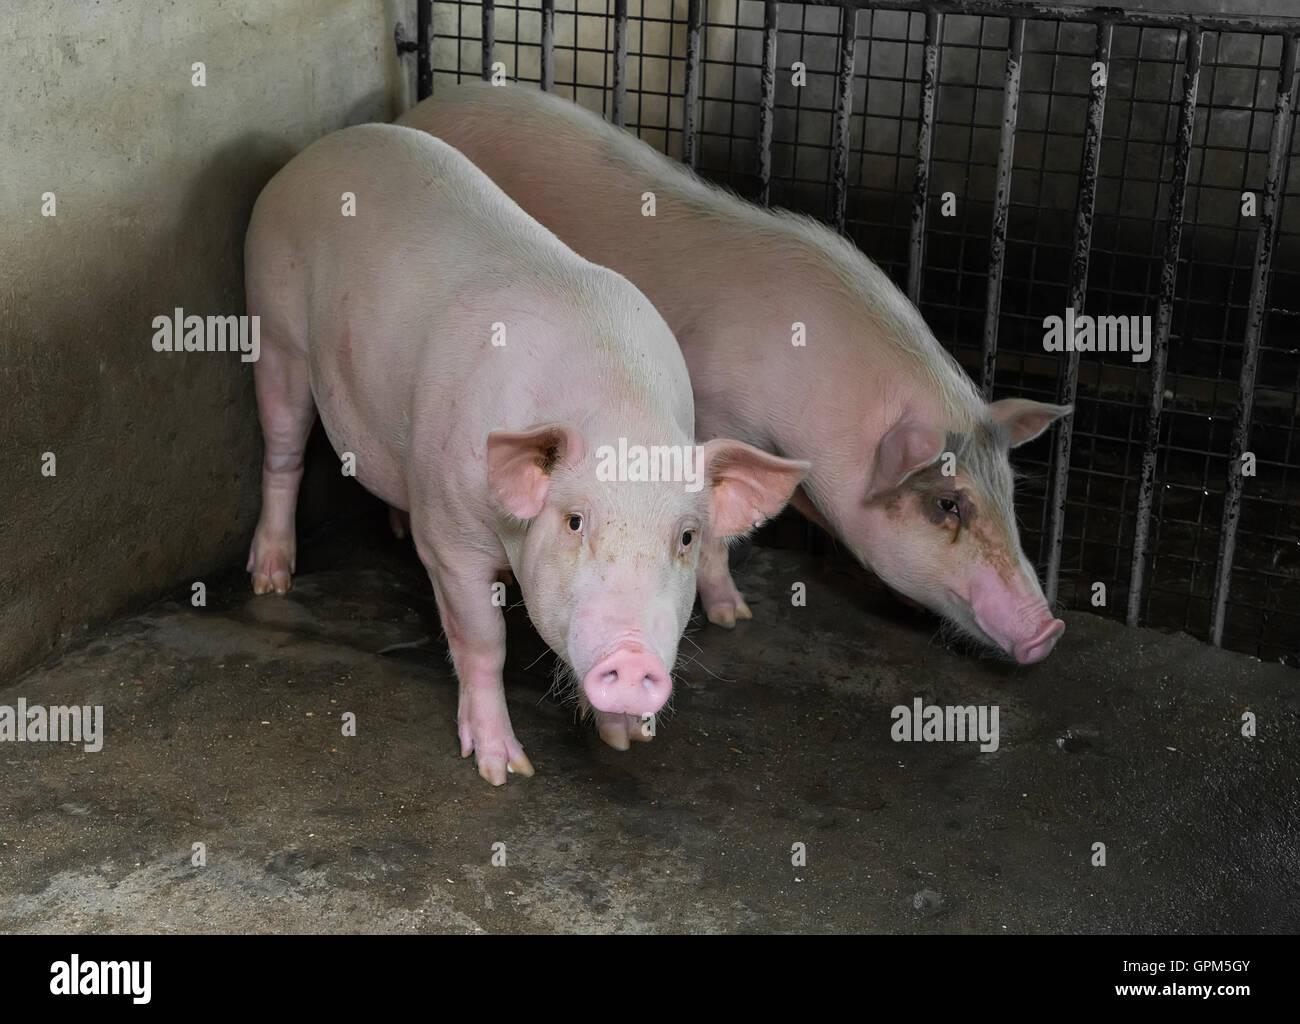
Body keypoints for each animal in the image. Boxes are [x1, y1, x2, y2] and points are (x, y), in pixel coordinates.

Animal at [243, 123, 808, 783]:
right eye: (575, 521)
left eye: (687, 538)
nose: (634, 658)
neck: (619, 408)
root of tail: (319, 149)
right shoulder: (450, 536)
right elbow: (483, 642)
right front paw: (504, 770)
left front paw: (621, 742)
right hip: (273, 328)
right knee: (283, 450)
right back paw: (272, 581)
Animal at [398, 84, 1070, 665]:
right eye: (947, 504)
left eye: (1010, 494)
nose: (1049, 631)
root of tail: (425, 104)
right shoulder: (715, 419)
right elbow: (718, 534)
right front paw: (733, 617)